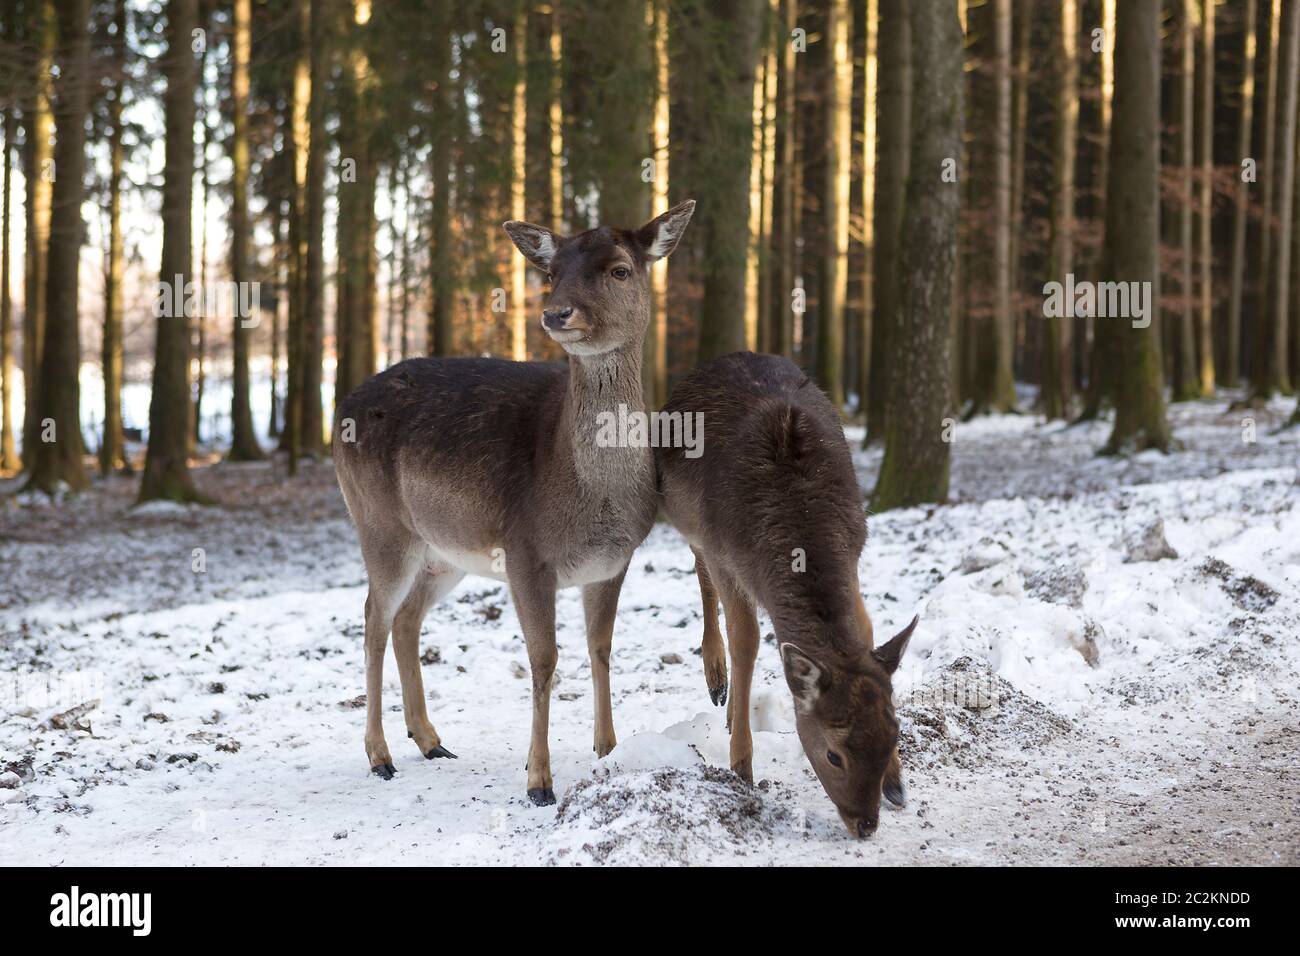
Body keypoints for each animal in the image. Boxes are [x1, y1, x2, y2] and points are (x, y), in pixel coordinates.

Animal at [333, 200, 696, 805]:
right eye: (551, 273)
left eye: (620, 269)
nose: (557, 313)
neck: (592, 499)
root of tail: (340, 409)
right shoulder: (527, 552)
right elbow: (544, 659)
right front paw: (539, 781)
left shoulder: (614, 561)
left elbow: (601, 647)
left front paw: (608, 749)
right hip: (380, 523)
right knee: (372, 619)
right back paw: (380, 756)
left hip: (445, 552)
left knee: (406, 620)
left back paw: (431, 741)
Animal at [656, 351, 917, 837]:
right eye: (833, 754)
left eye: (896, 734)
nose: (866, 824)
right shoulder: (724, 551)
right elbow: (746, 639)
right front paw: (742, 767)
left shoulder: (855, 548)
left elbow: (867, 628)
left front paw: (896, 782)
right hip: (687, 521)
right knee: (702, 578)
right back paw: (717, 681)